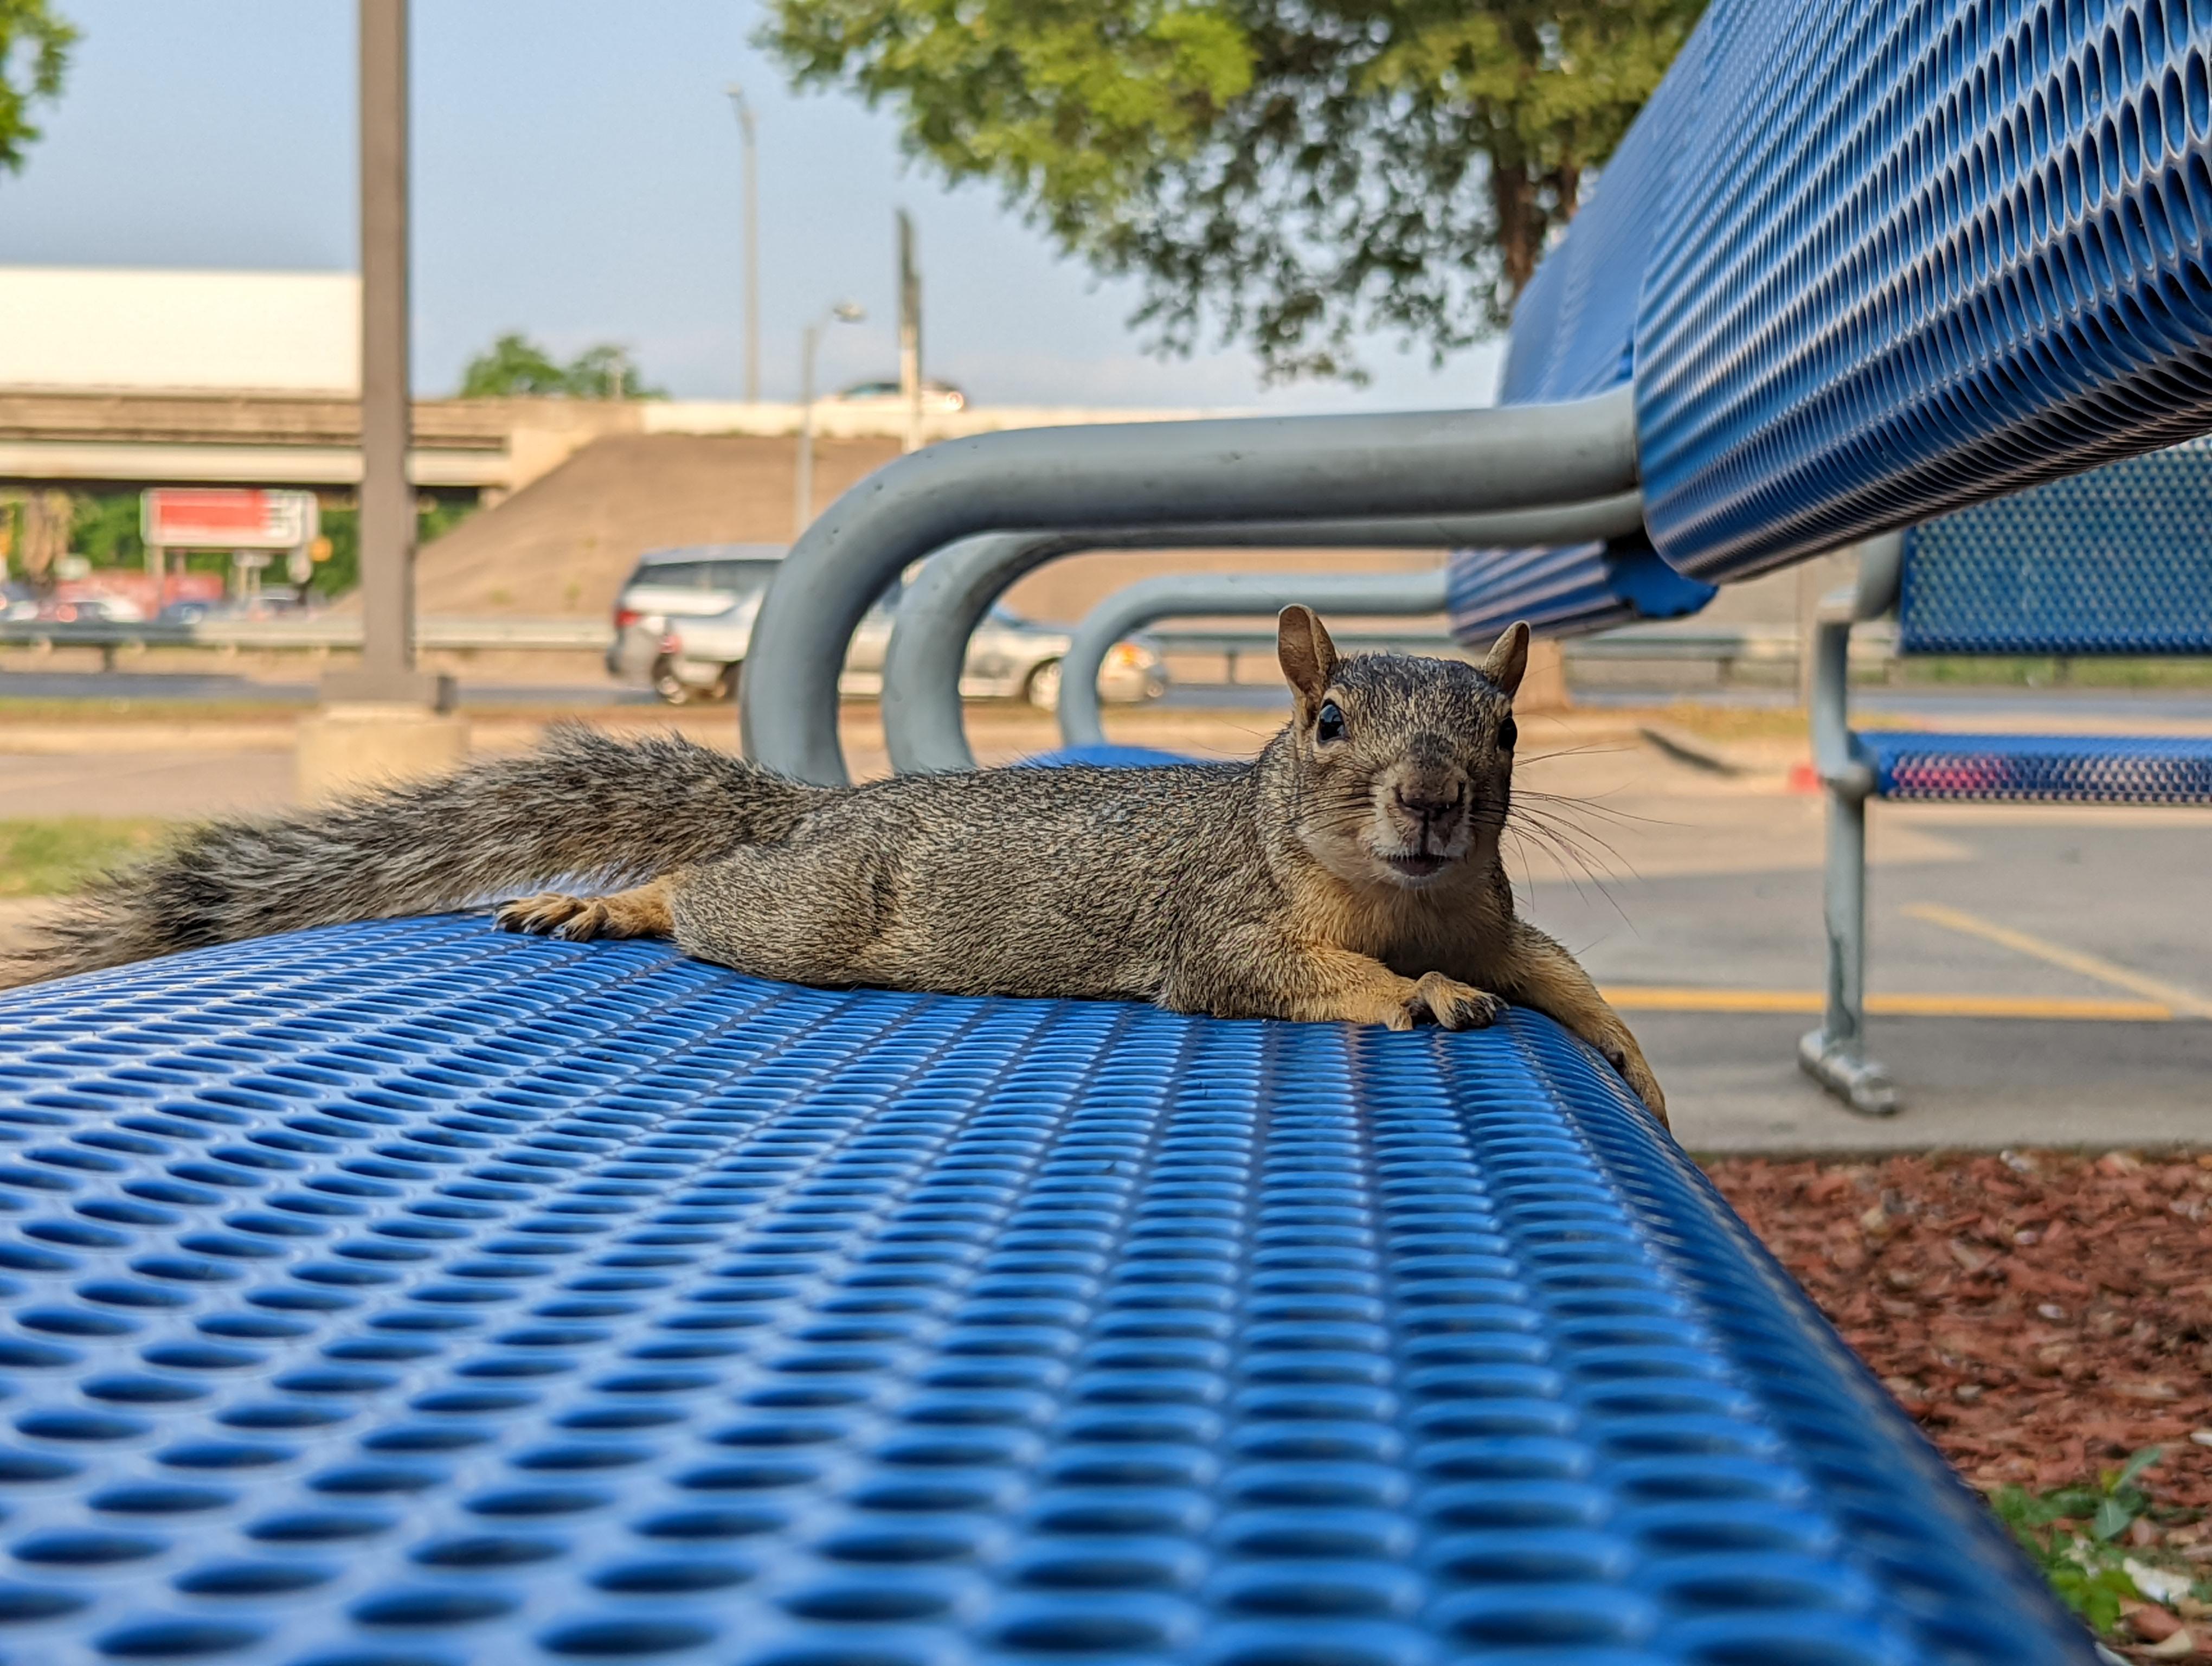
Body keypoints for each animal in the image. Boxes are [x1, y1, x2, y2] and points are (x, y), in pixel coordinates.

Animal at [15, 607, 1664, 1121]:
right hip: (801, 912)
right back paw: (614, 898)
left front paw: (1629, 1058)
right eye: (1325, 721)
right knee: (705, 896)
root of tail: (813, 810)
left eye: (1504, 724)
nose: (1434, 800)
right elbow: (1296, 969)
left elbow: (1562, 971)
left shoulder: (1492, 914)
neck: (1406, 895)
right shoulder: (1221, 934)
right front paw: (1410, 999)